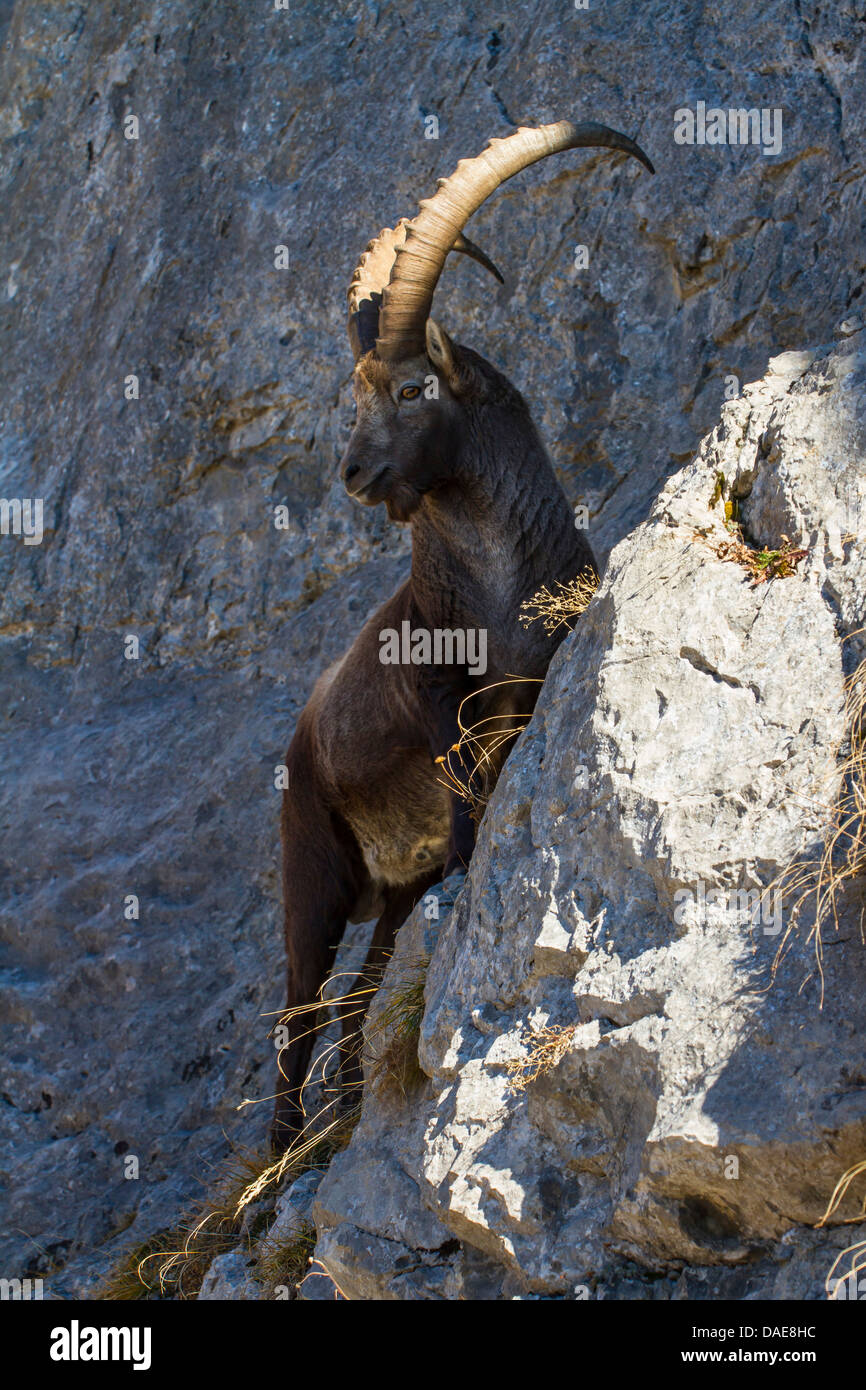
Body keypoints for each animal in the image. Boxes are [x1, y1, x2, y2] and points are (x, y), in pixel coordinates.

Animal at [272, 121, 653, 1148]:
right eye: (357, 395)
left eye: (411, 389)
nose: (354, 473)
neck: (493, 589)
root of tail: (301, 738)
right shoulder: (444, 704)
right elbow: (468, 806)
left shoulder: (523, 693)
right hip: (312, 871)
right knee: (298, 1013)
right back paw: (277, 1161)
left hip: (391, 894)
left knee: (357, 1000)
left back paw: (343, 1117)